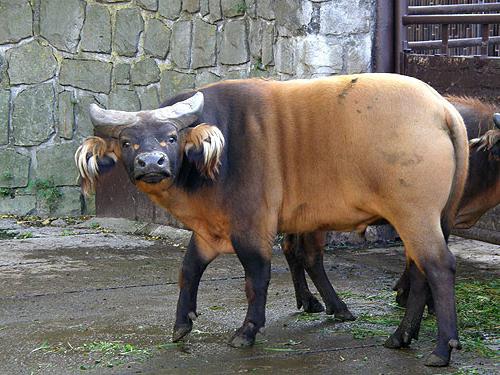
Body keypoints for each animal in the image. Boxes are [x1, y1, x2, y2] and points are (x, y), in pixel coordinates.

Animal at [75, 74, 468, 368]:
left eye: (171, 137)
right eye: (127, 142)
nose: (152, 163)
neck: (219, 154)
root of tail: (442, 109)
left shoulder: (252, 227)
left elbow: (257, 277)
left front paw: (247, 330)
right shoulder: (208, 230)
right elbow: (189, 270)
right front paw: (181, 323)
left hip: (415, 216)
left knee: (439, 267)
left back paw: (441, 348)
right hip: (421, 221)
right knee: (418, 272)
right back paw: (400, 336)